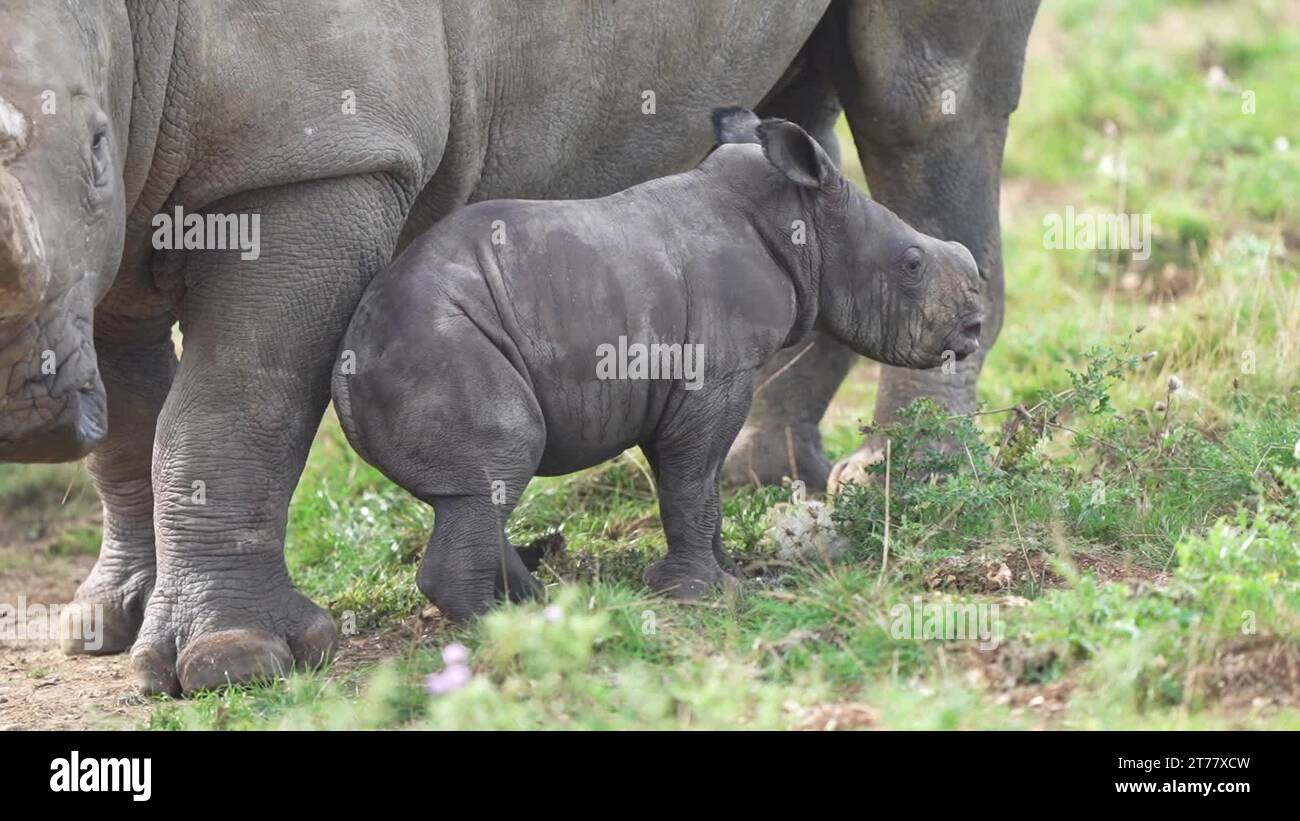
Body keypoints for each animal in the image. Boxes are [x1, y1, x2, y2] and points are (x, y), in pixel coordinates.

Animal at [0, 0, 1039, 694]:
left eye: (93, 146)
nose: (21, 406)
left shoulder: (324, 154)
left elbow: (230, 403)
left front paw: (230, 665)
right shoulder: (118, 232)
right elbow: (133, 426)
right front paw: (114, 625)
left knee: (922, 94)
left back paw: (902, 477)